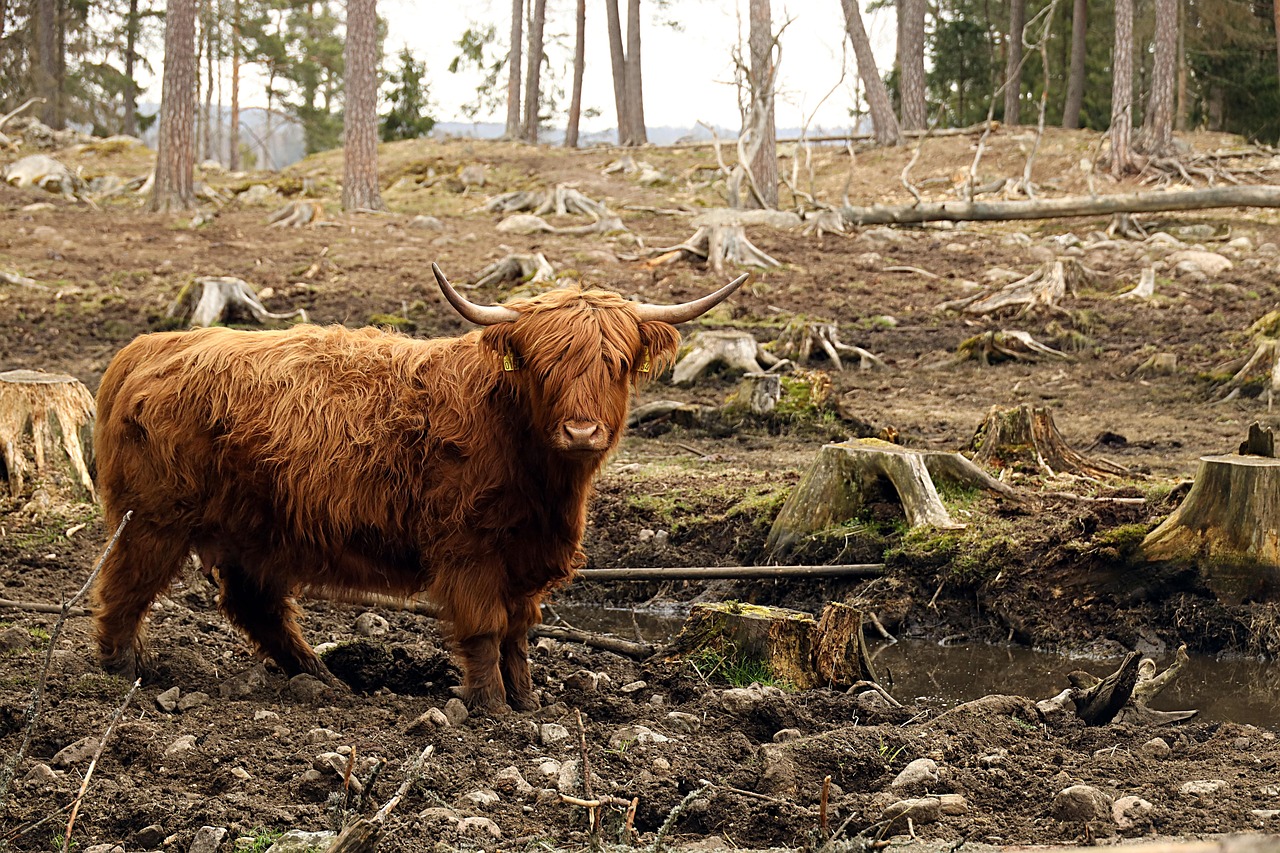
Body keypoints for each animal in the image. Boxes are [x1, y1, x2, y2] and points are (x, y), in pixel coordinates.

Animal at [91, 264, 747, 711]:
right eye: (543, 365)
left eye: (616, 364)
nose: (582, 430)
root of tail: (148, 347)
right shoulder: (468, 549)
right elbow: (484, 629)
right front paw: (491, 709)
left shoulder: (526, 555)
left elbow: (519, 632)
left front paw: (528, 701)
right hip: (155, 519)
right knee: (126, 587)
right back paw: (123, 669)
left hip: (256, 529)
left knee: (256, 605)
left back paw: (321, 678)